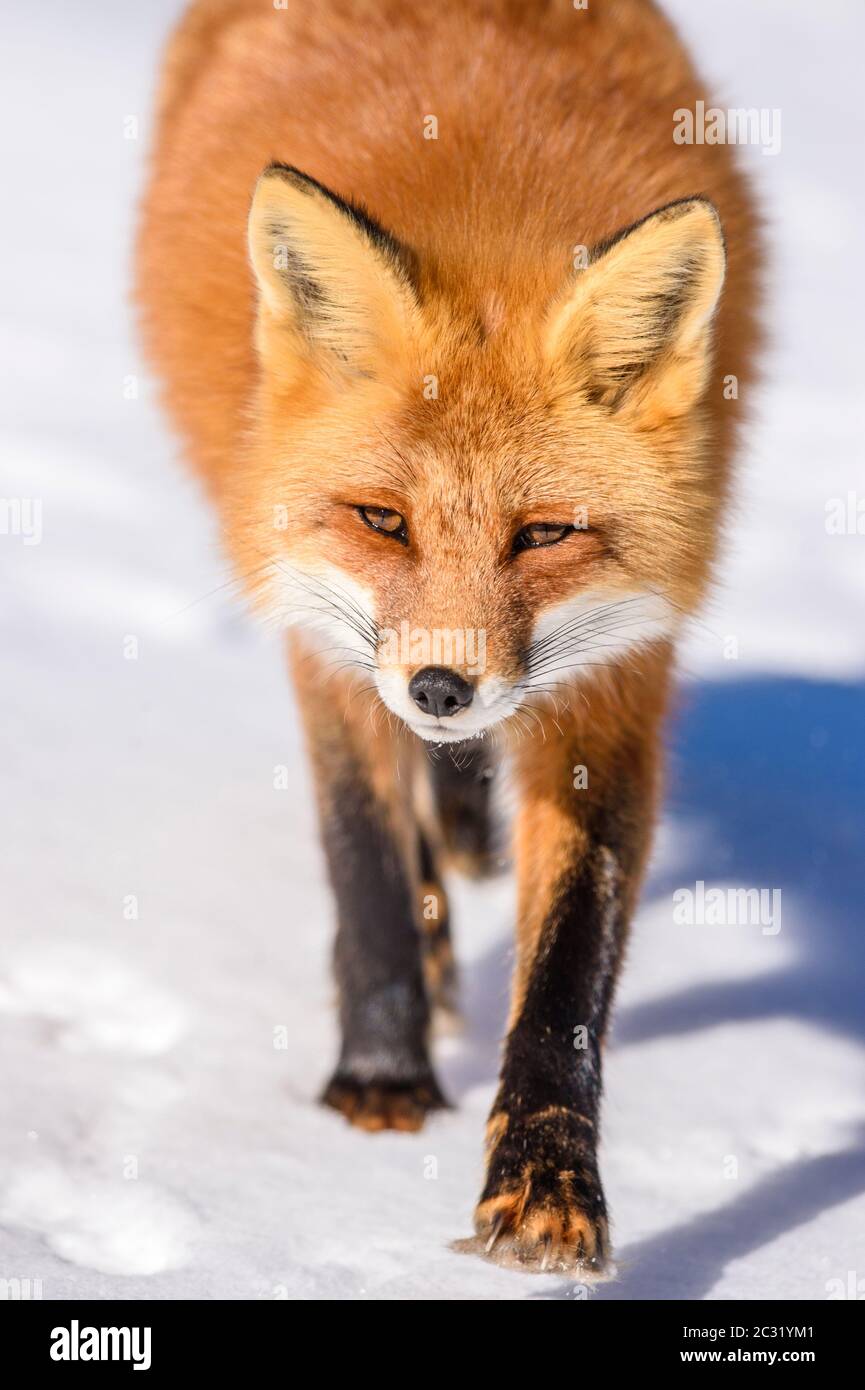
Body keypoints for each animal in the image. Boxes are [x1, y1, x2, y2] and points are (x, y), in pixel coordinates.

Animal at [137, 0, 760, 1273]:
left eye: (545, 534)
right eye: (383, 520)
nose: (438, 686)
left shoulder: (612, 681)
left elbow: (569, 966)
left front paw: (547, 1184)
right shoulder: (329, 641)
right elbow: (365, 862)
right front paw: (380, 1076)